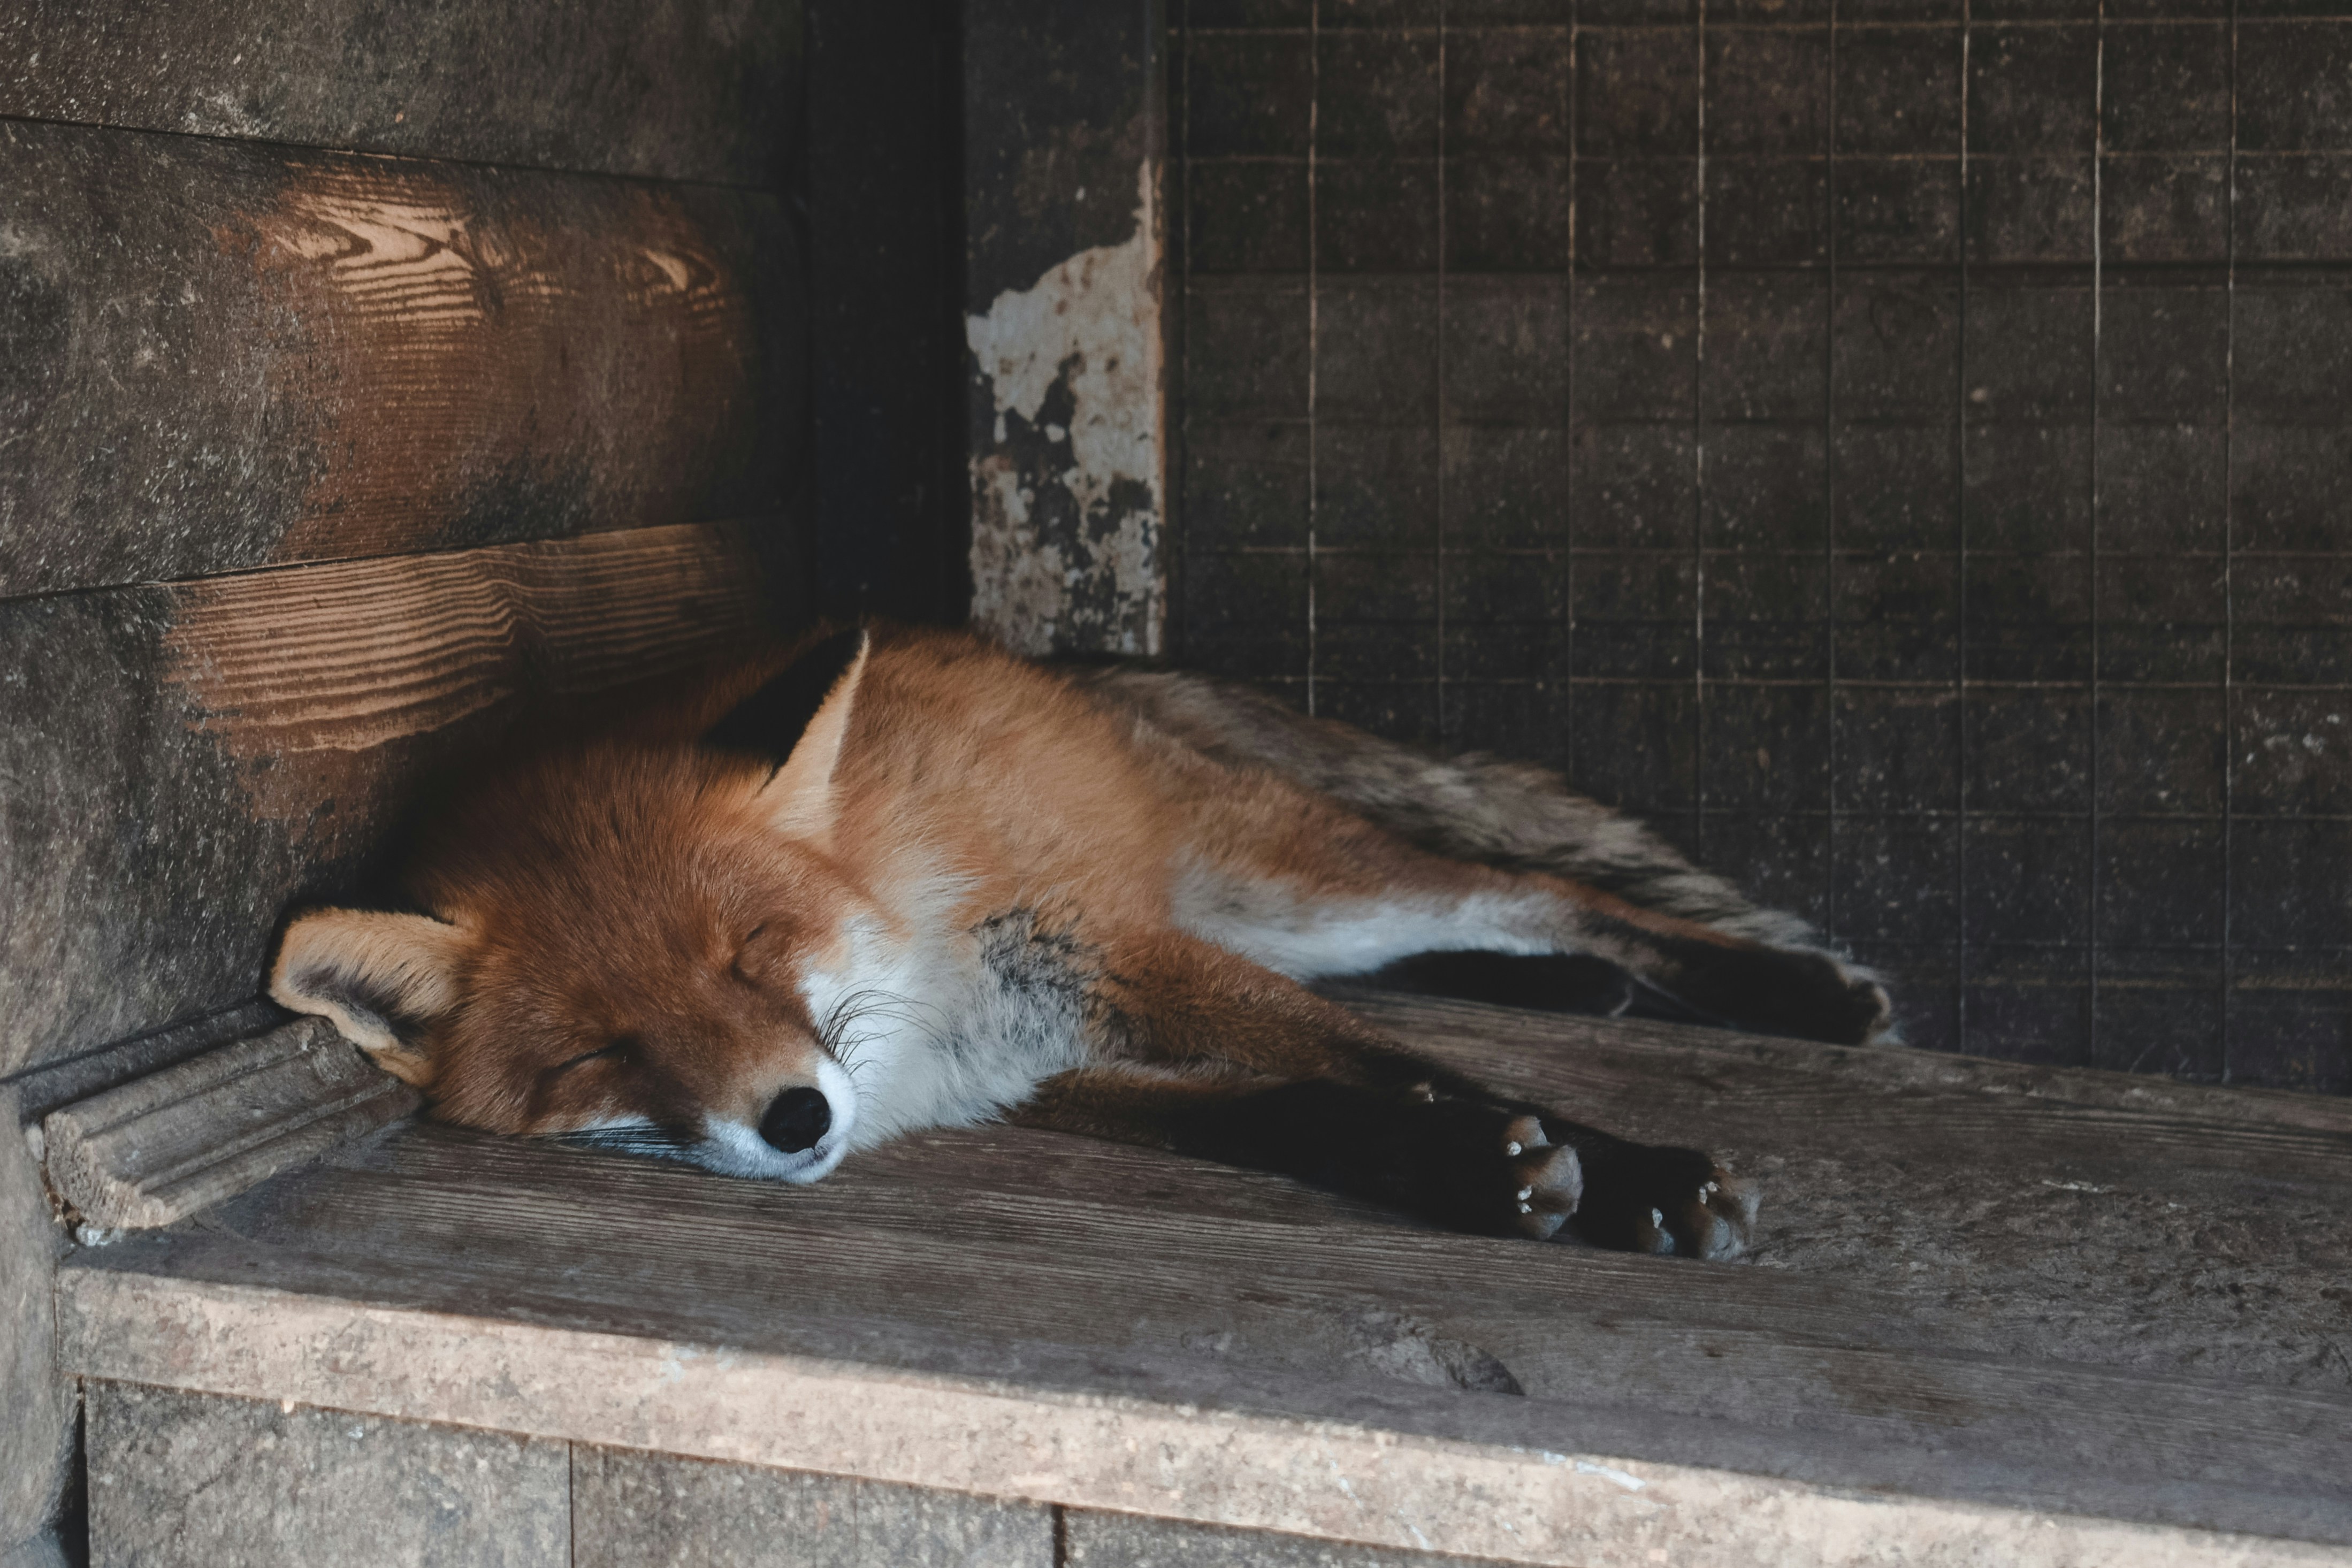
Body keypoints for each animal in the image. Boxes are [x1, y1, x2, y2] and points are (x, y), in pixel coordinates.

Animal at [271, 623, 1893, 1260]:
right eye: (604, 1049)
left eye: (751, 953)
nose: (793, 1119)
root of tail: (1055, 663)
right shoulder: (1028, 1061)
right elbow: (1300, 1113)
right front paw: (1470, 1168)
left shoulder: (1110, 959)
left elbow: (1409, 1066)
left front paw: (1637, 1178)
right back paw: (1593, 991)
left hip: (1288, 889)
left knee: (1525, 884)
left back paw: (1774, 984)